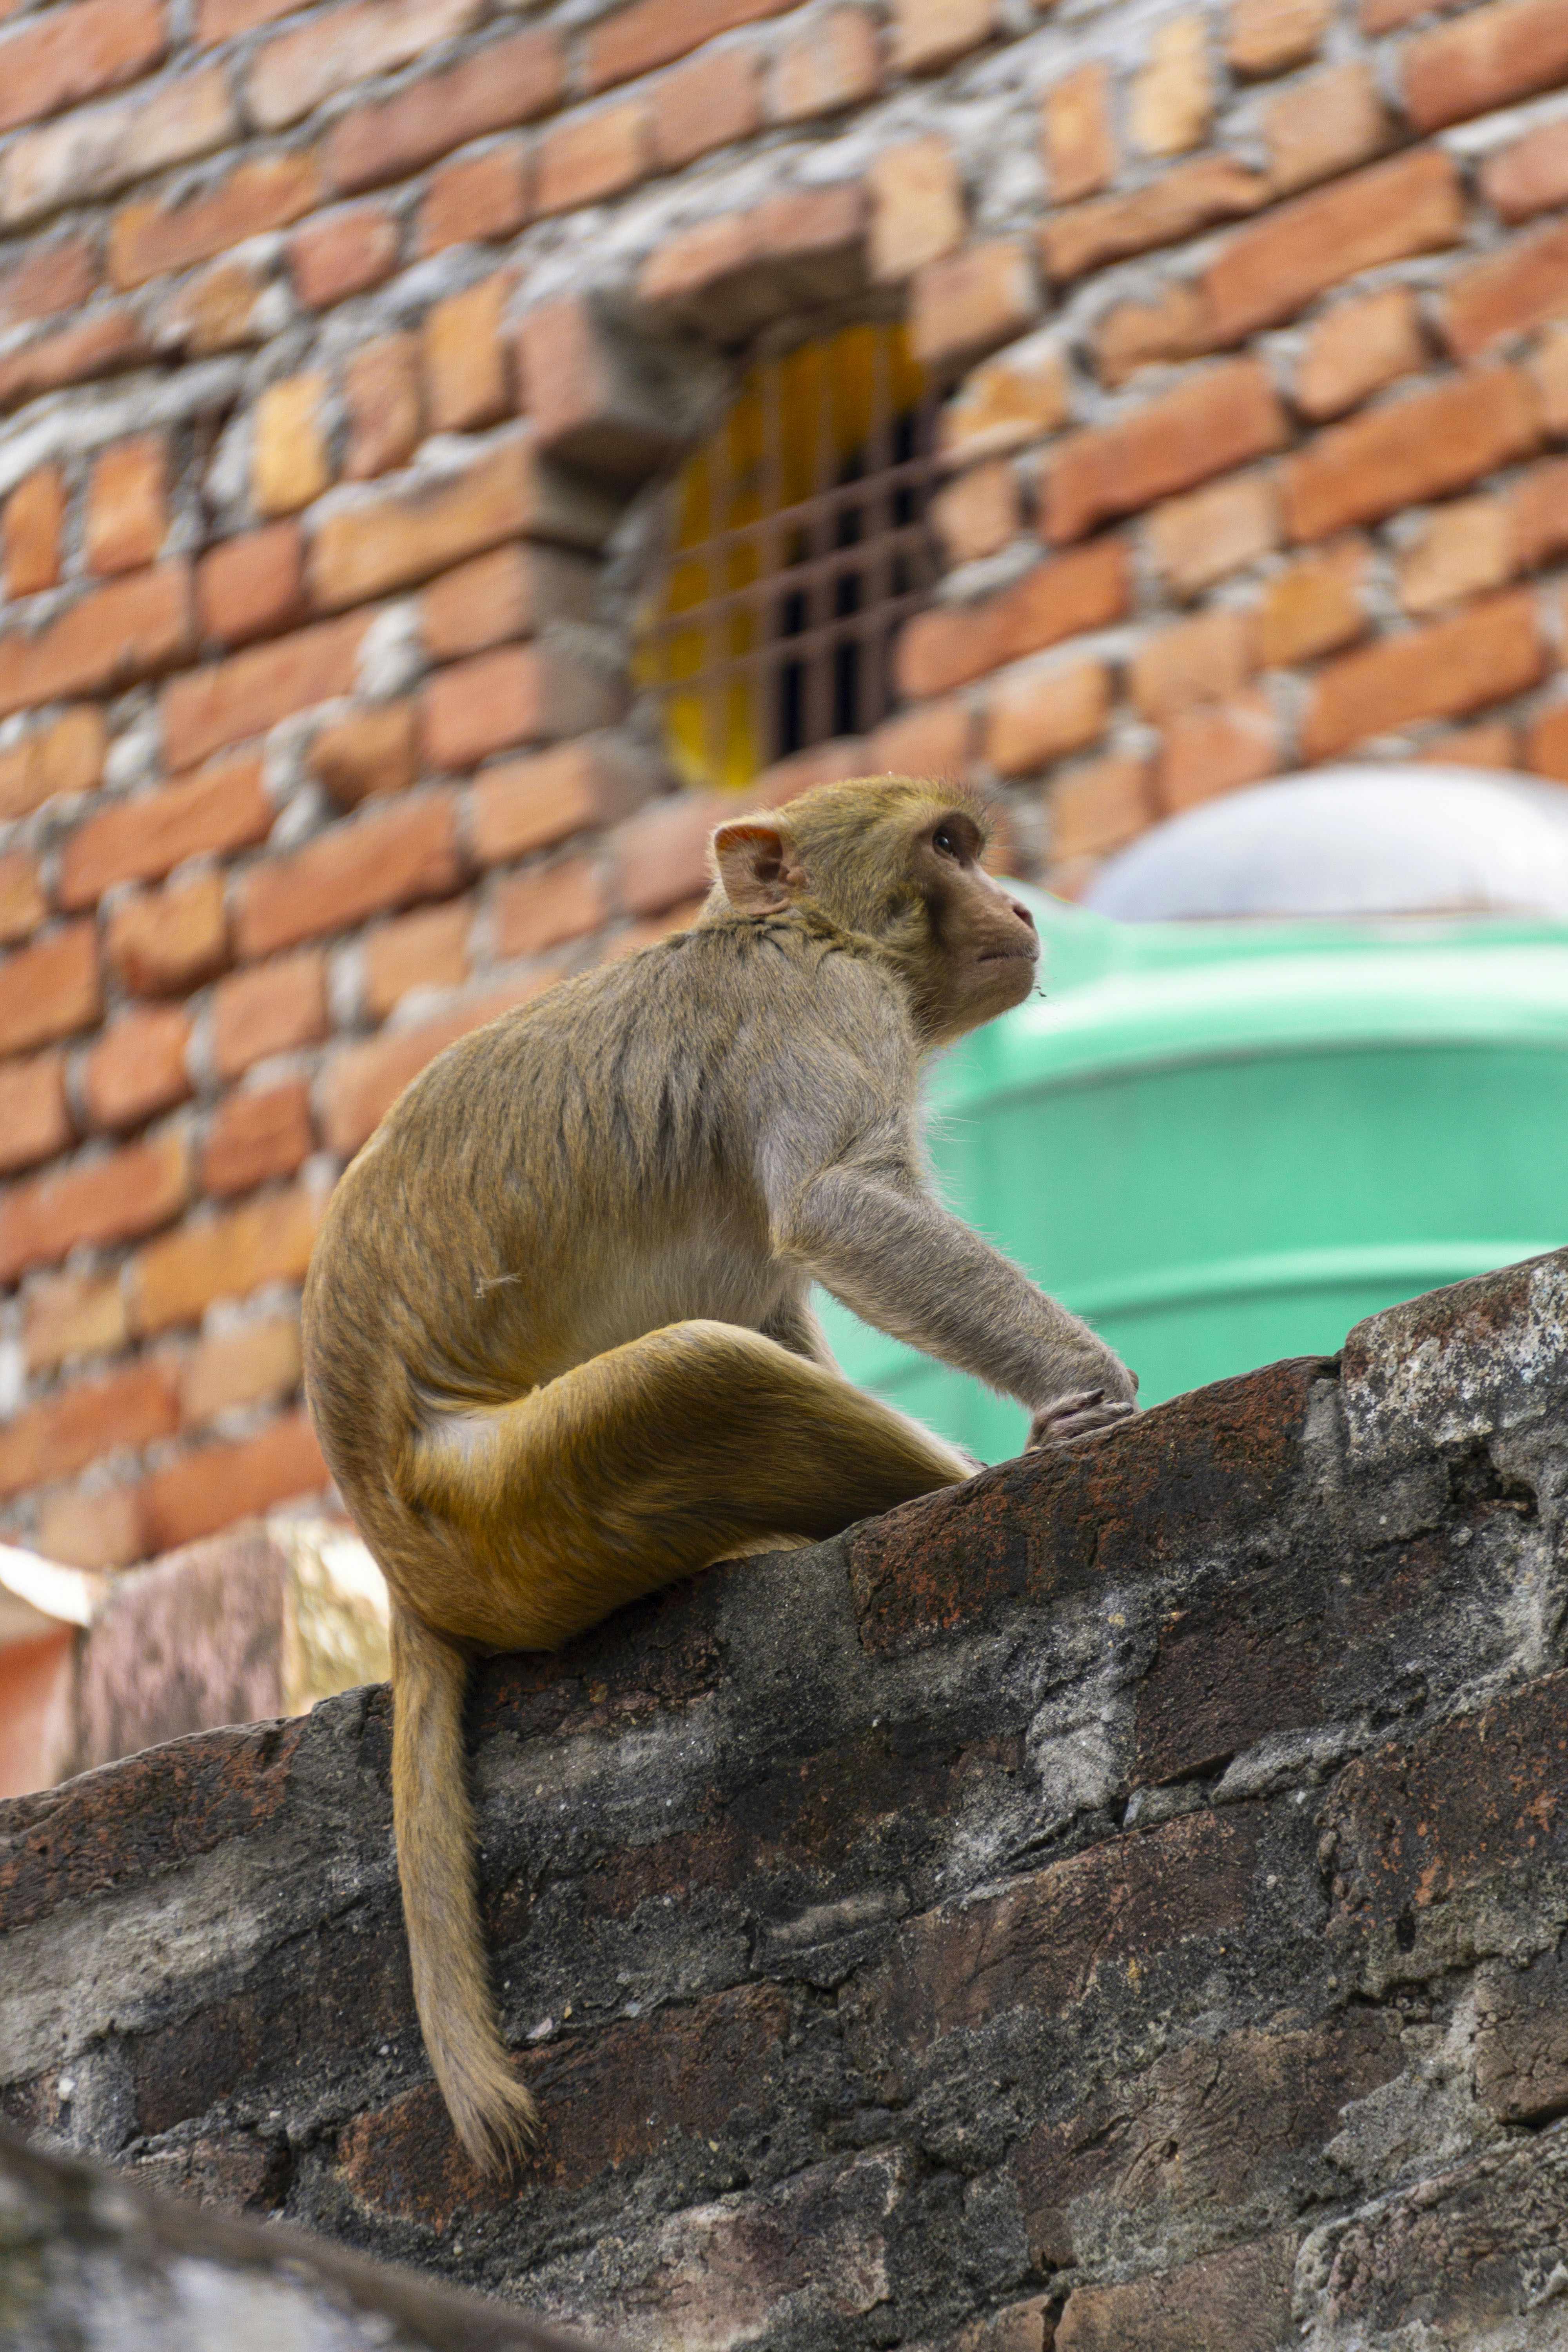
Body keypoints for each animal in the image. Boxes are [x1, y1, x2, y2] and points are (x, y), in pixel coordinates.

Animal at [300, 775, 1137, 2173]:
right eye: (947, 848)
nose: (1018, 908)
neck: (789, 930)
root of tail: (403, 1576)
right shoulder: (820, 1006)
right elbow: (839, 1207)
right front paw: (1091, 1394)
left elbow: (782, 1285)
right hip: (521, 1502)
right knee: (703, 1367)